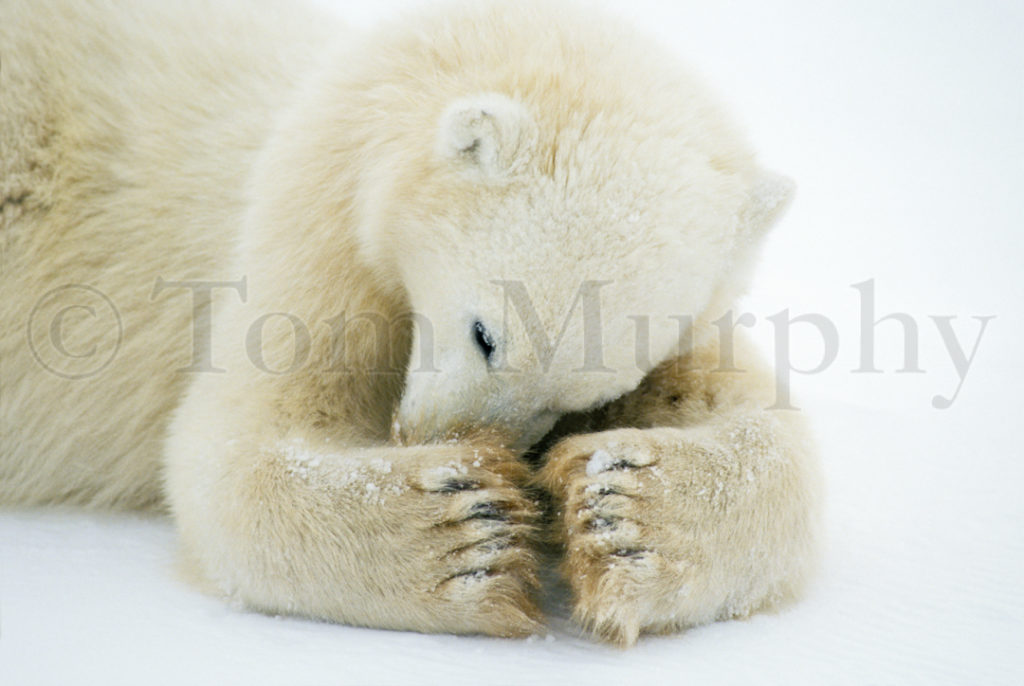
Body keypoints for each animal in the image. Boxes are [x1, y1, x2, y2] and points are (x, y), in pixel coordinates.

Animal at [0, 0, 821, 646]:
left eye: (589, 396)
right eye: (485, 333)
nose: (437, 437)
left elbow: (755, 424)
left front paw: (622, 510)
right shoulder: (306, 247)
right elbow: (229, 449)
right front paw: (473, 525)